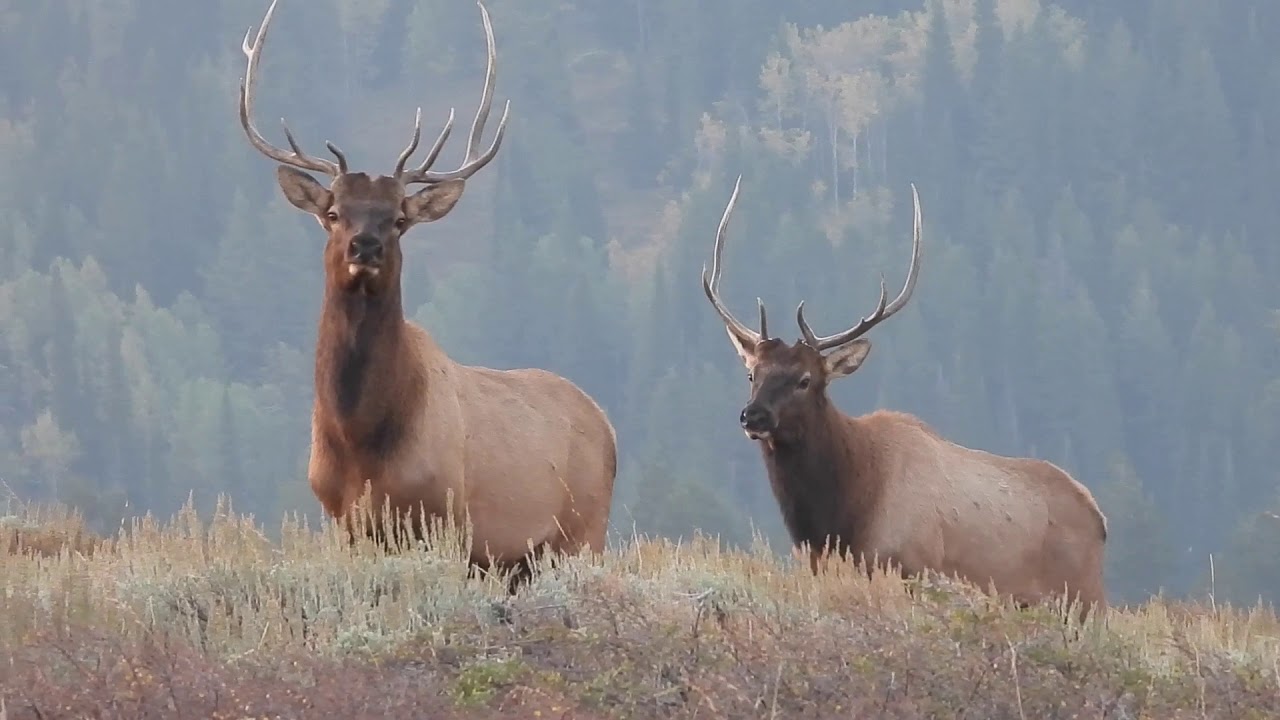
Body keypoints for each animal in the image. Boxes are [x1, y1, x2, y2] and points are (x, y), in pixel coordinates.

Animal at [235, 0, 618, 593]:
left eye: (398, 218)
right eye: (333, 213)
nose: (365, 245)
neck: (360, 440)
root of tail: (608, 426)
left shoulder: (447, 517)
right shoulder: (344, 523)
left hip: (584, 533)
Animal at [700, 176, 1108, 620]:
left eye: (805, 379)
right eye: (752, 373)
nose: (753, 416)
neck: (838, 516)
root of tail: (1099, 518)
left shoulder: (912, 565)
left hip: (1085, 599)